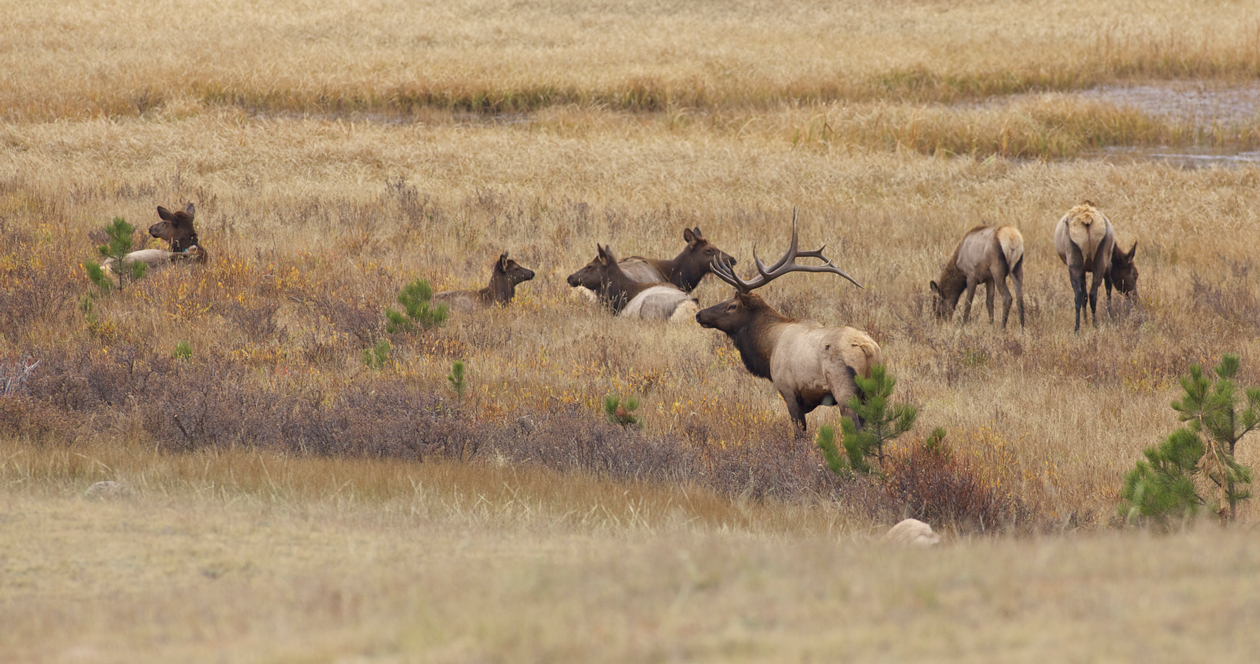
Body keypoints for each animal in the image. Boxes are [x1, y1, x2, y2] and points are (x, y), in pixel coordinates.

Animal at [695, 211, 880, 434]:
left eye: (732, 305)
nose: (700, 314)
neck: (768, 347)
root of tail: (867, 348)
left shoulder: (789, 391)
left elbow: (799, 433)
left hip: (845, 391)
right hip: (875, 393)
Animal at [1053, 201, 1138, 332]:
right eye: (1135, 274)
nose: (1136, 299)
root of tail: (1087, 220)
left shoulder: (1084, 269)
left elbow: (1084, 295)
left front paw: (1086, 321)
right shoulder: (1108, 265)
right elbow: (1108, 288)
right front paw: (1110, 315)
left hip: (1075, 260)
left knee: (1081, 294)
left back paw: (1079, 328)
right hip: (1100, 258)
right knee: (1092, 293)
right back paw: (1094, 325)